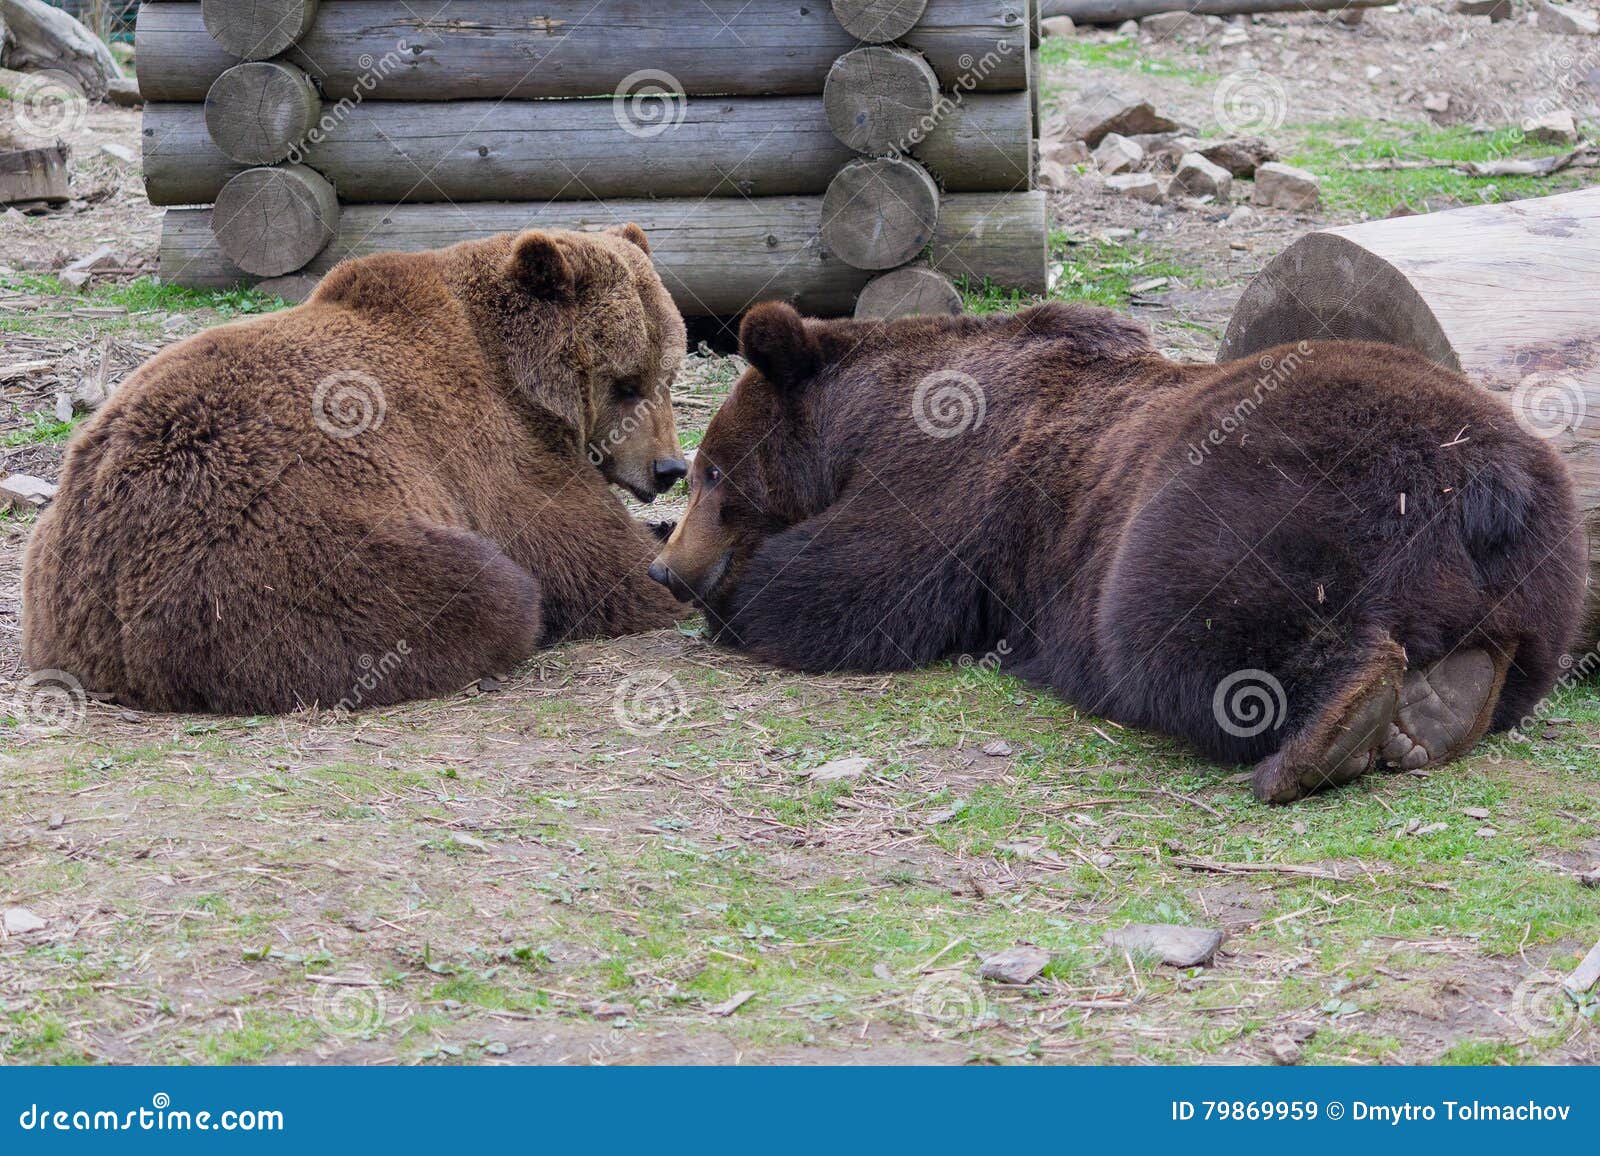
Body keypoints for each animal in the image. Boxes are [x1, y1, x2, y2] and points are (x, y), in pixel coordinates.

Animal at [22, 225, 689, 714]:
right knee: (485, 592)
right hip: (275, 550)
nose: (669, 467)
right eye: (626, 382)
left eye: (668, 372)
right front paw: (666, 571)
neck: (518, 378)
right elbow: (585, 553)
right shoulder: (490, 451)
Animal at [648, 300, 1587, 803]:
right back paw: (1445, 702)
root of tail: (1481, 478)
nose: (669, 567)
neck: (860, 426)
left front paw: (736, 597)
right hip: (1545, 565)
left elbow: (846, 585)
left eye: (711, 470)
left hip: (1268, 490)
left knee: (1184, 627)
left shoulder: (952, 480)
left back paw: (1336, 730)